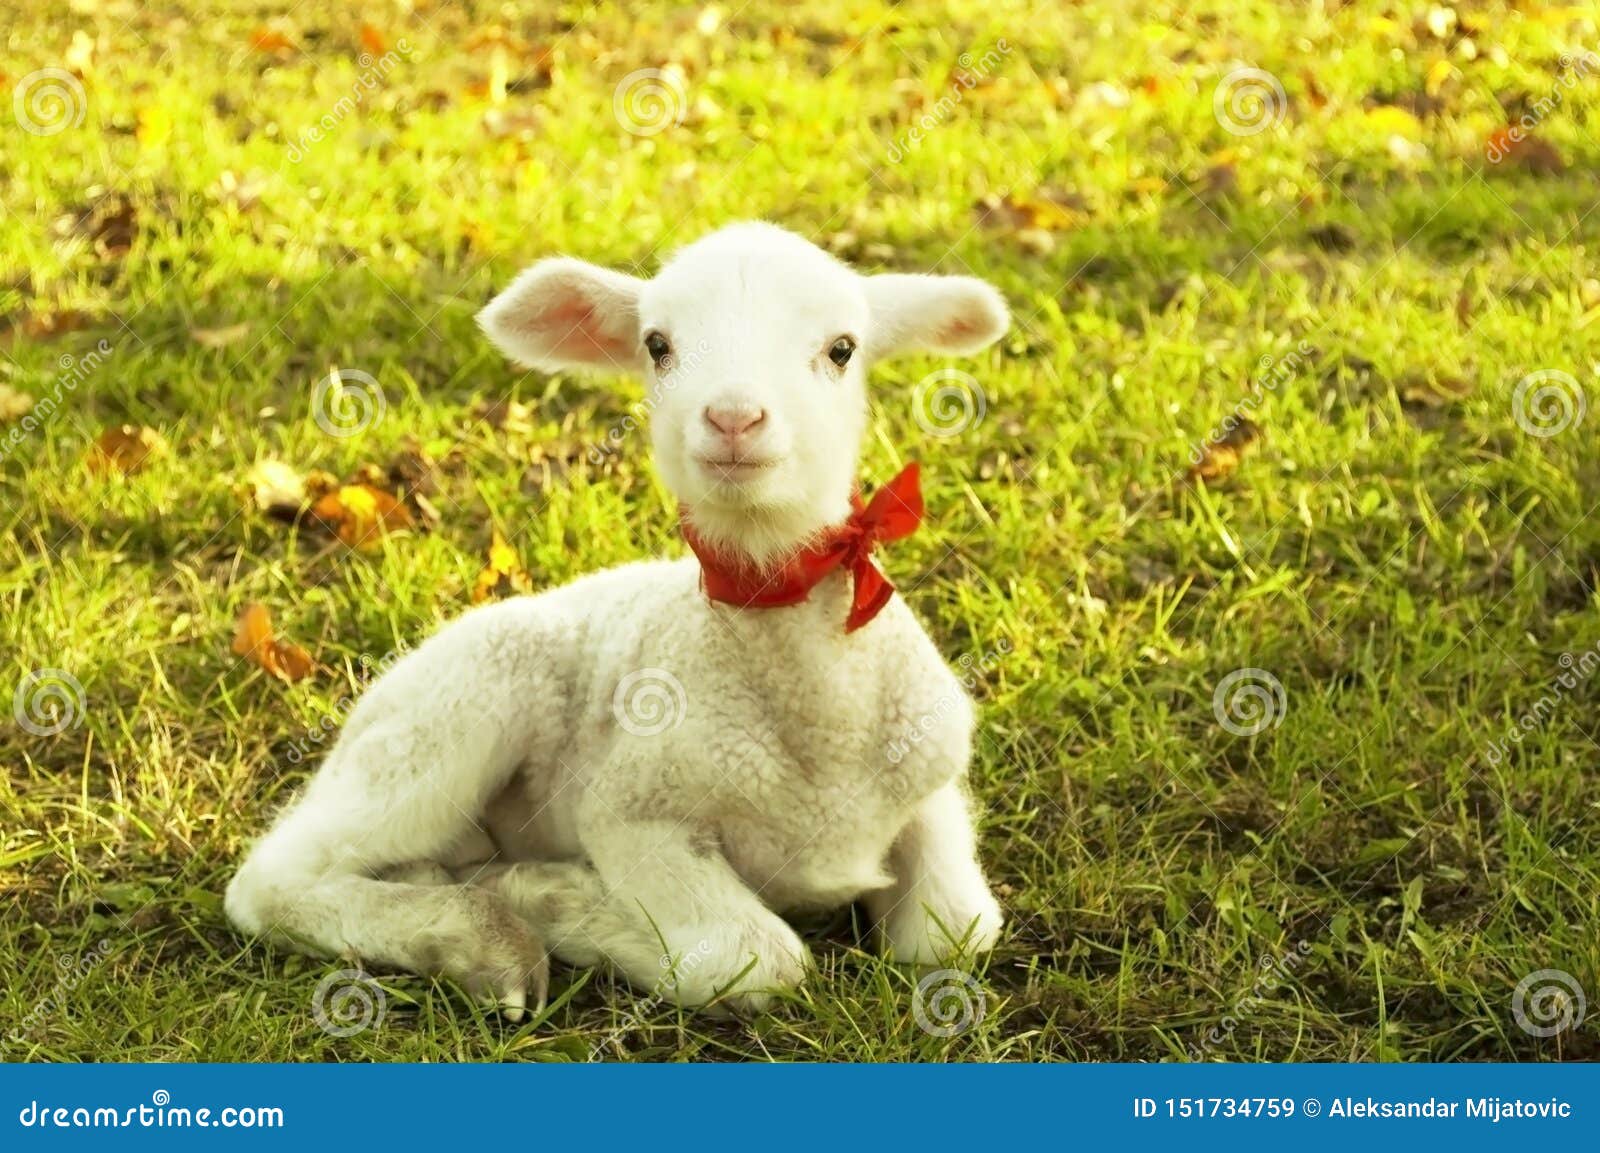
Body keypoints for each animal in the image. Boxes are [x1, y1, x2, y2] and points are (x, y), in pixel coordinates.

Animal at [224, 222, 1010, 1018]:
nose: (733, 418)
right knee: (269, 882)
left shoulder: (934, 782)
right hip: (452, 714)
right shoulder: (631, 812)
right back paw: (484, 940)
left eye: (843, 348)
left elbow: (957, 930)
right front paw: (552, 895)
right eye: (657, 345)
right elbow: (751, 959)